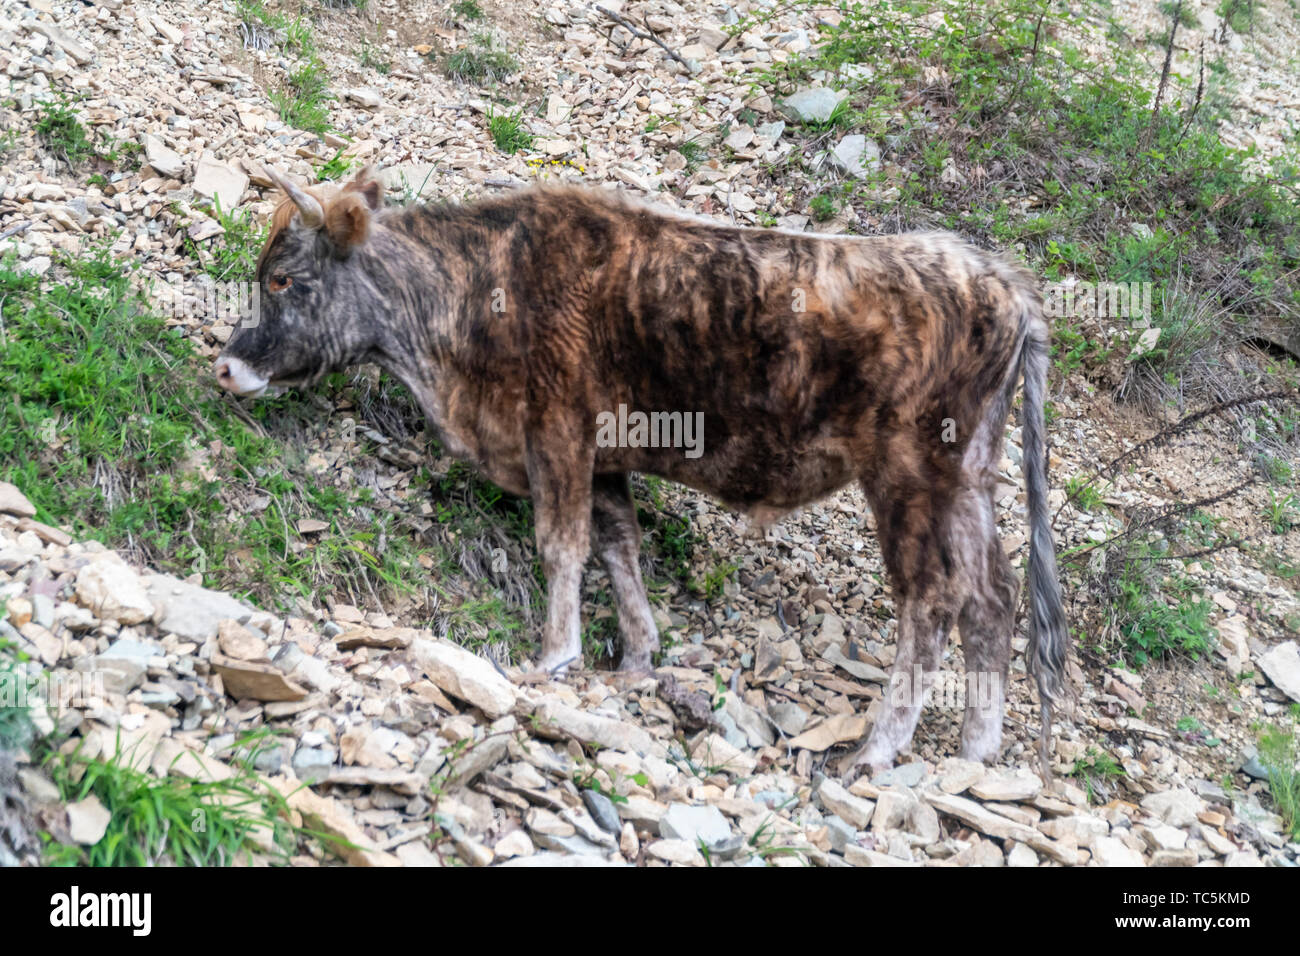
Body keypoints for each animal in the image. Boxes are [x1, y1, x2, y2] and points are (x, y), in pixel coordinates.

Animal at [214, 166, 1069, 779]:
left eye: (282, 278)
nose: (225, 367)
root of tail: (997, 277)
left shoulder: (558, 431)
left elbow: (561, 544)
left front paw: (555, 657)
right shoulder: (604, 460)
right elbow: (617, 547)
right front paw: (635, 659)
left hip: (911, 473)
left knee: (931, 601)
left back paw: (876, 750)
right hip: (968, 478)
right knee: (991, 599)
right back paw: (976, 754)